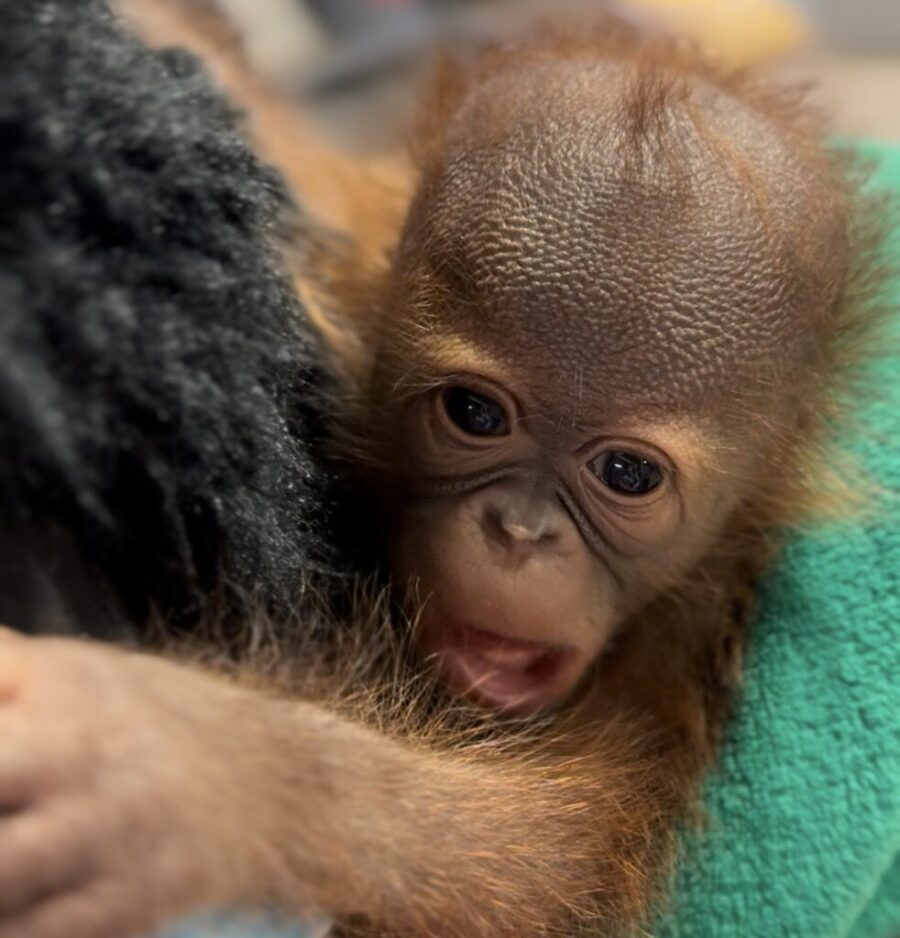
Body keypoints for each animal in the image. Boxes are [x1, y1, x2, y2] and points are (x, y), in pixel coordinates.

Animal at [0, 1, 887, 937]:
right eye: (475, 414)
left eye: (627, 475)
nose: (520, 534)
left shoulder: (687, 638)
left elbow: (552, 860)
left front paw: (186, 773)